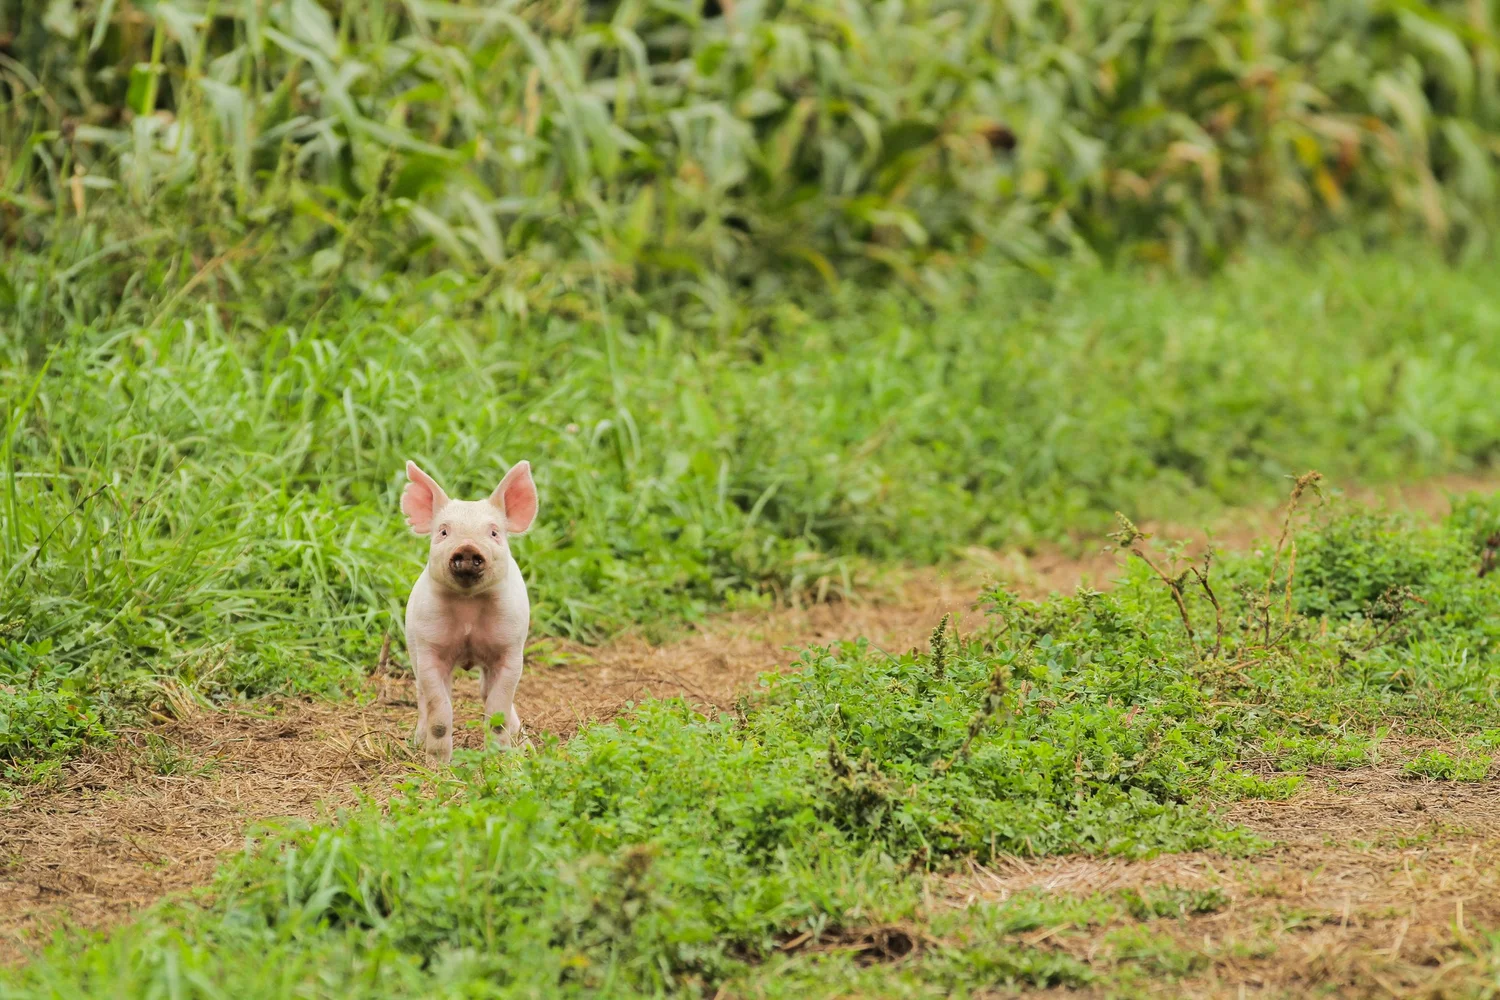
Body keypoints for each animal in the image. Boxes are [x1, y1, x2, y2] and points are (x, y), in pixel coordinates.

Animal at [400, 459, 538, 764]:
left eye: (494, 532)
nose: (466, 547)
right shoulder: (429, 648)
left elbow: (497, 711)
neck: (469, 608)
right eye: (443, 531)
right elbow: (440, 712)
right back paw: (416, 743)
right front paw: (437, 766)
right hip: (412, 645)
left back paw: (527, 748)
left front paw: (501, 760)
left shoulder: (511, 649)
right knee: (422, 695)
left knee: (486, 692)